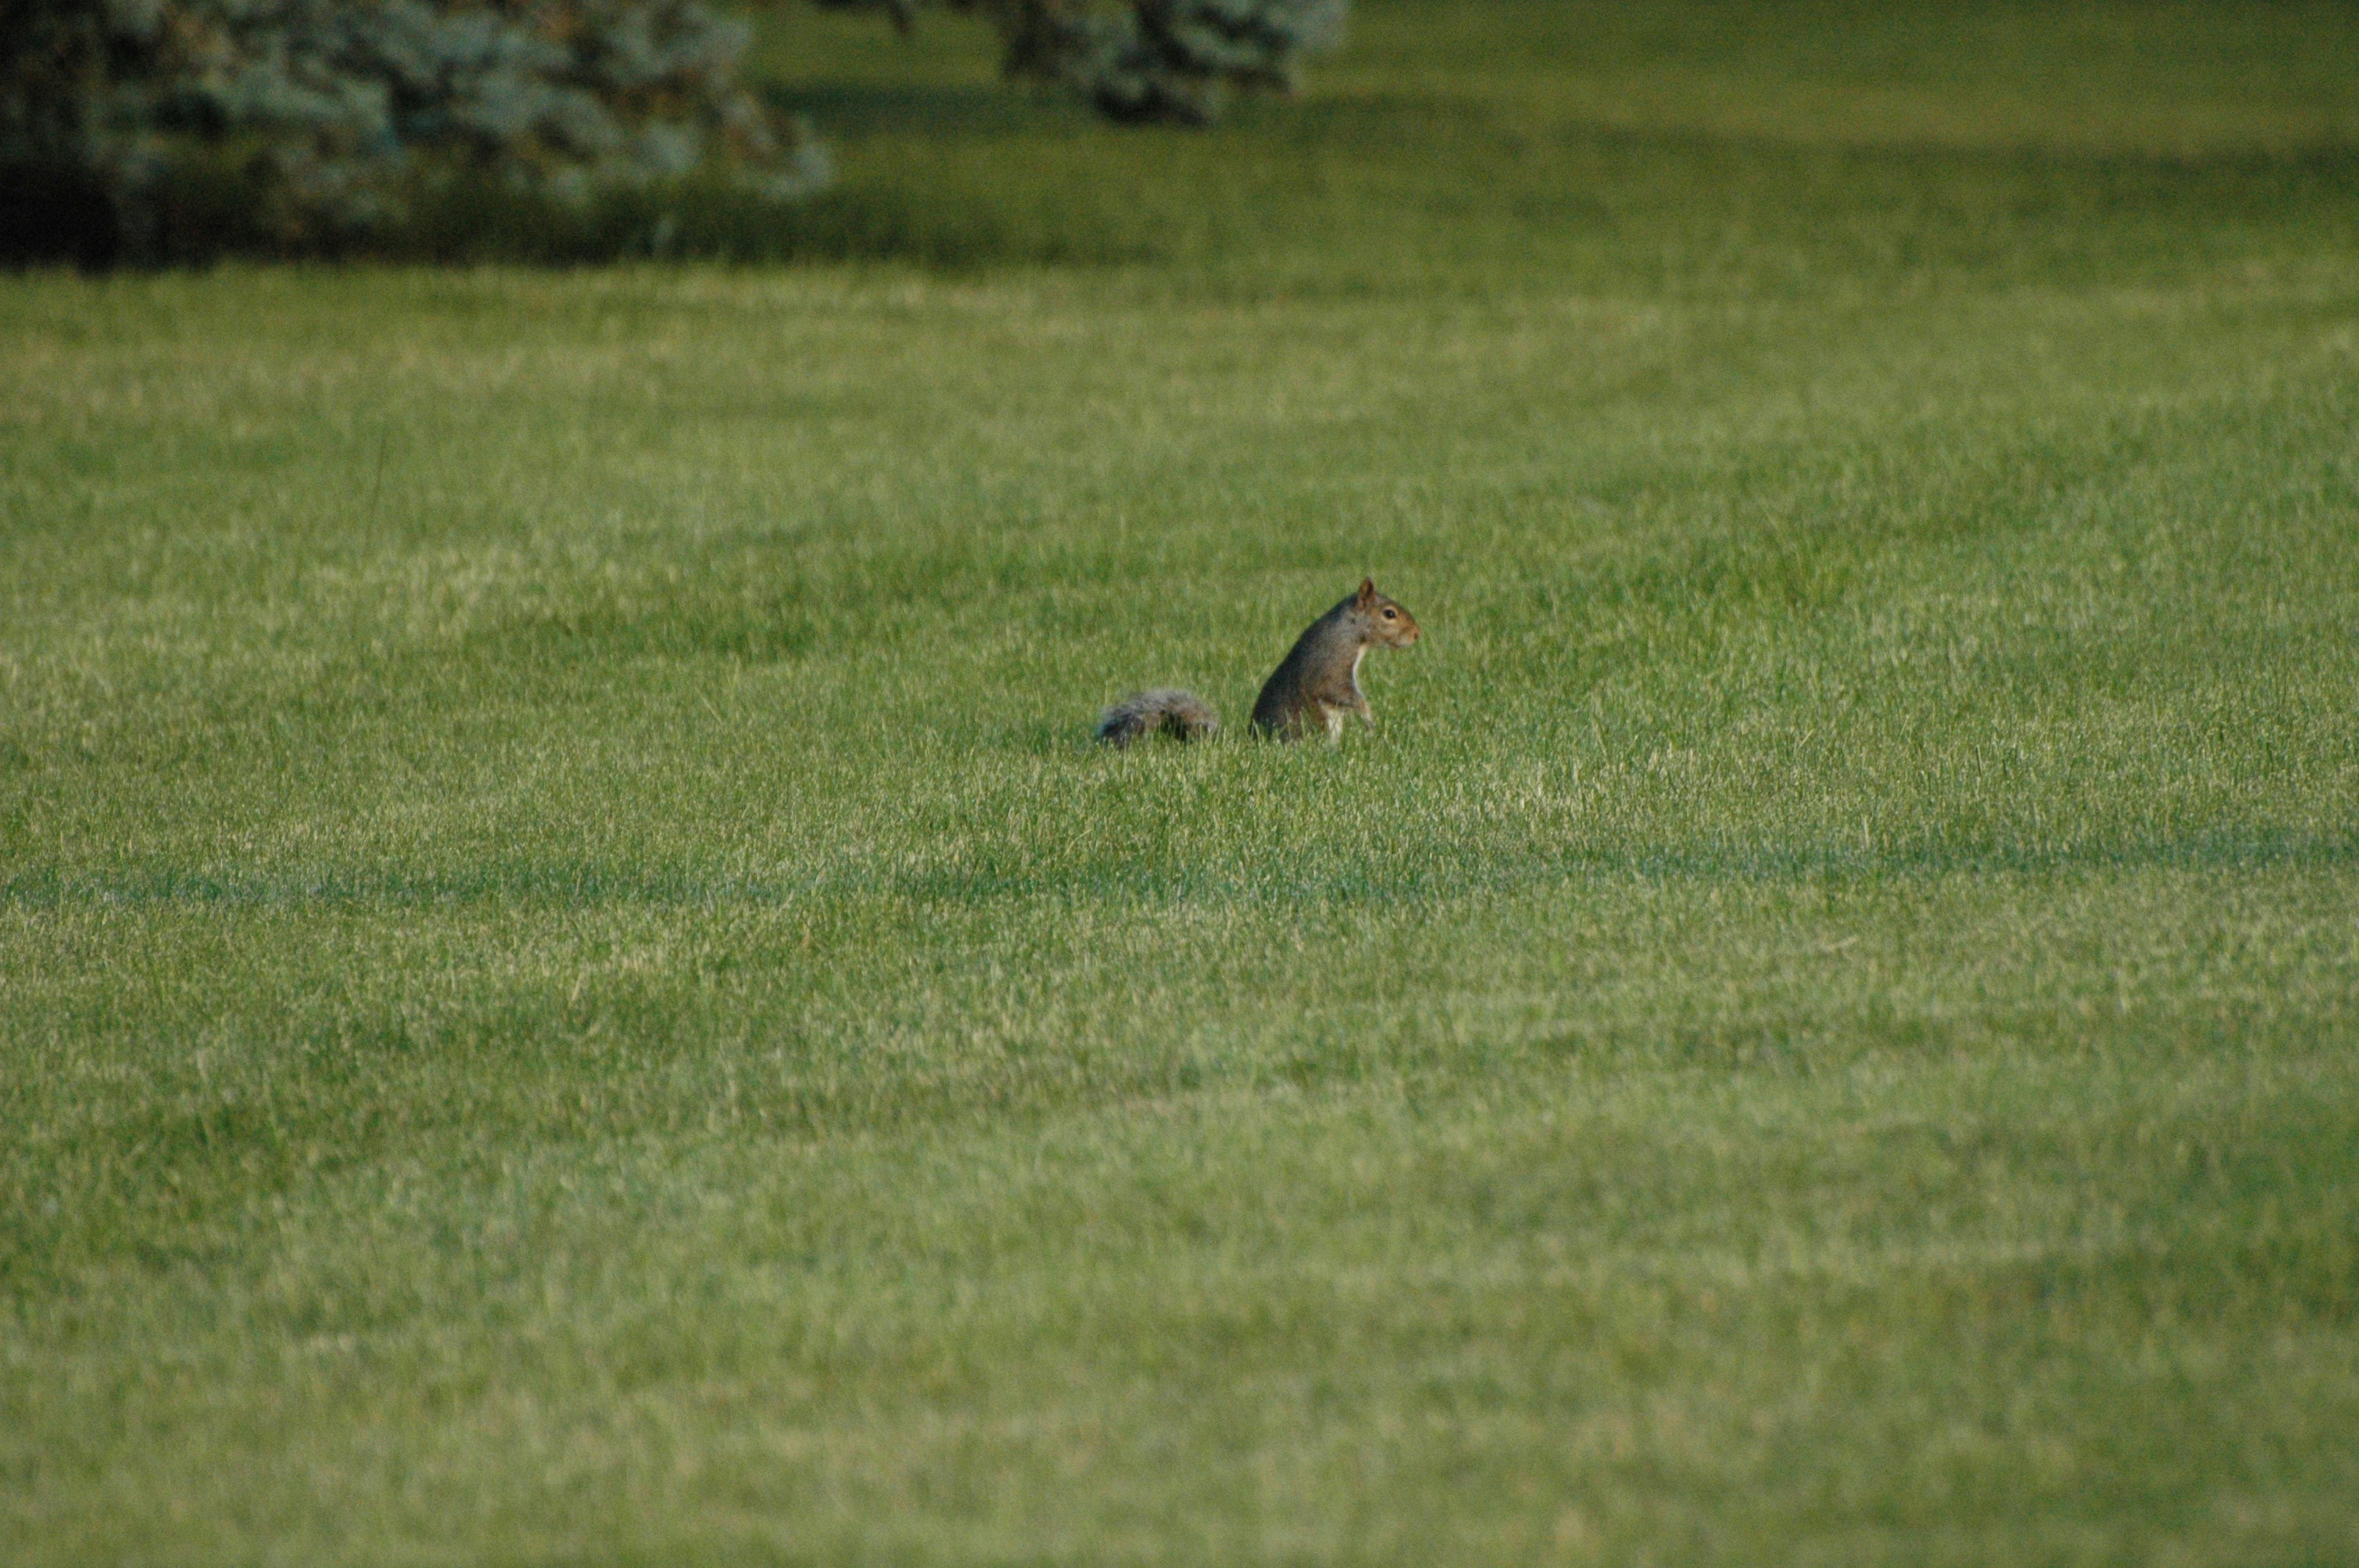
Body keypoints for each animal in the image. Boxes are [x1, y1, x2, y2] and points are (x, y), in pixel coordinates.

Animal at [1096, 578, 1422, 746]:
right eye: (1389, 614)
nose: (1417, 634)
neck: (1351, 631)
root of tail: (1255, 742)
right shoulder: (1333, 665)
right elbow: (1340, 692)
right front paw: (1369, 717)